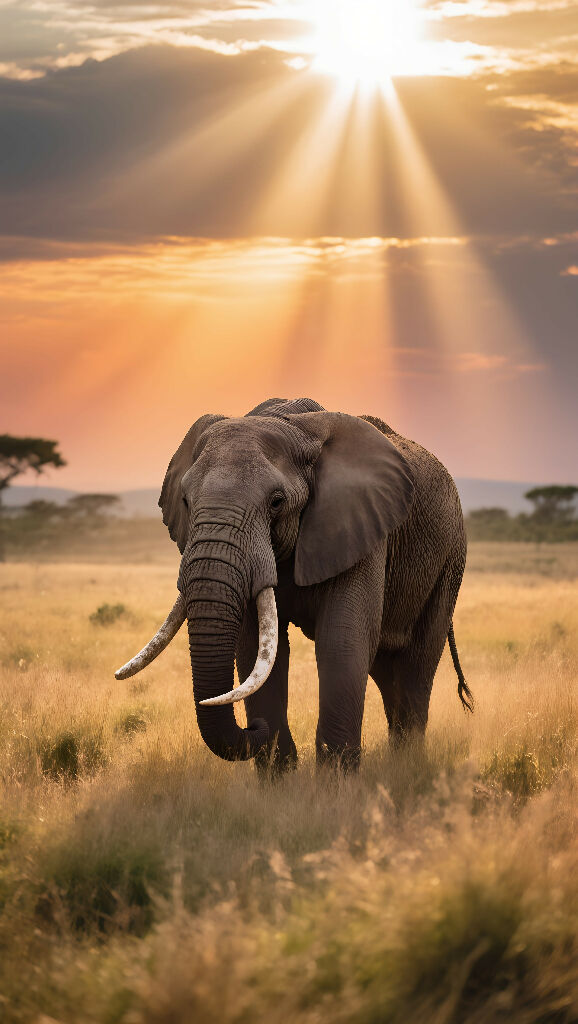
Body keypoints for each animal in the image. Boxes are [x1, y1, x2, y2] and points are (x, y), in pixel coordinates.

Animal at [116, 397, 473, 773]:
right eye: (185, 500)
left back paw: (408, 766)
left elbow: (342, 641)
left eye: (276, 502)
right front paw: (279, 776)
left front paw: (335, 782)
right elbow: (255, 648)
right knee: (387, 671)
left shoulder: (358, 528)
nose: (253, 728)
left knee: (416, 666)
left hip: (450, 558)